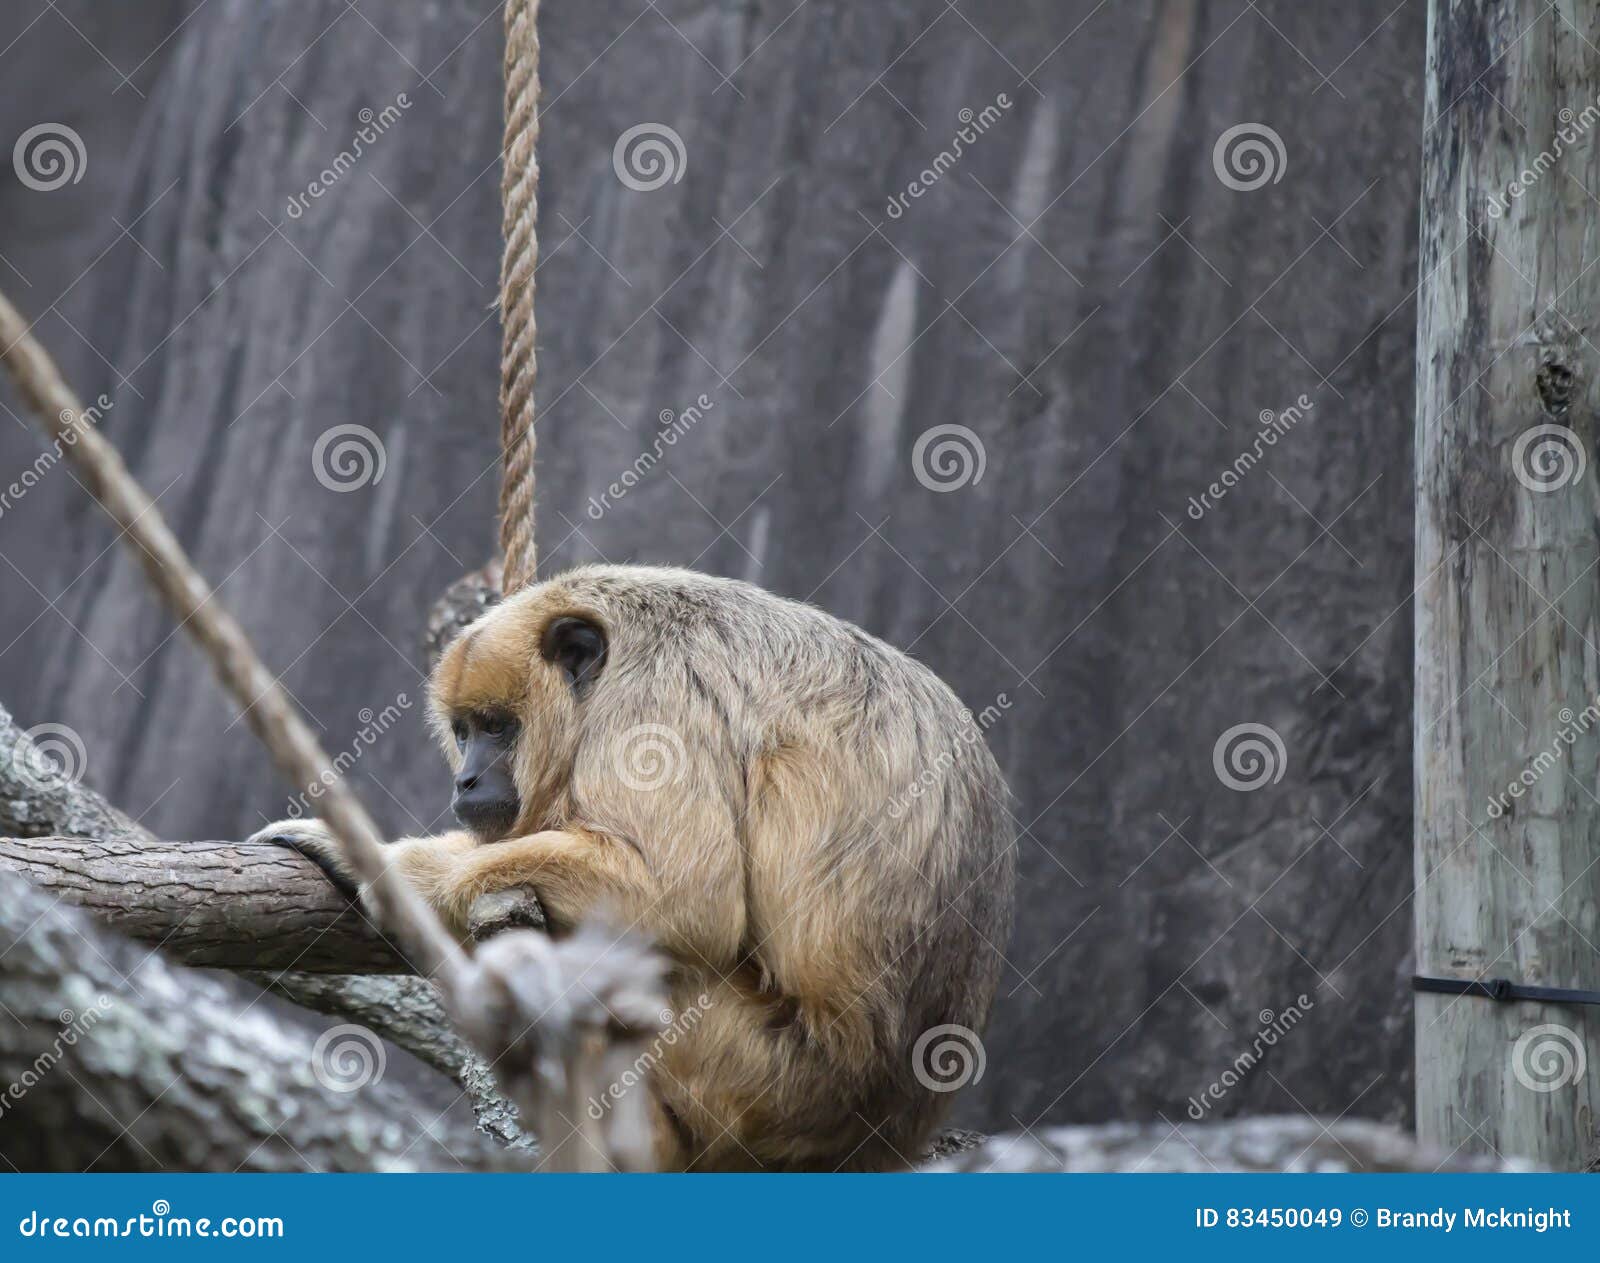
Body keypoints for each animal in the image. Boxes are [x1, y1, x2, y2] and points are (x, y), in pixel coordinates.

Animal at [249, 564, 1015, 1171]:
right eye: (462, 732)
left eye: (497, 726)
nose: (464, 780)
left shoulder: (656, 702)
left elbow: (683, 891)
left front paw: (384, 863)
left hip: (777, 1079)